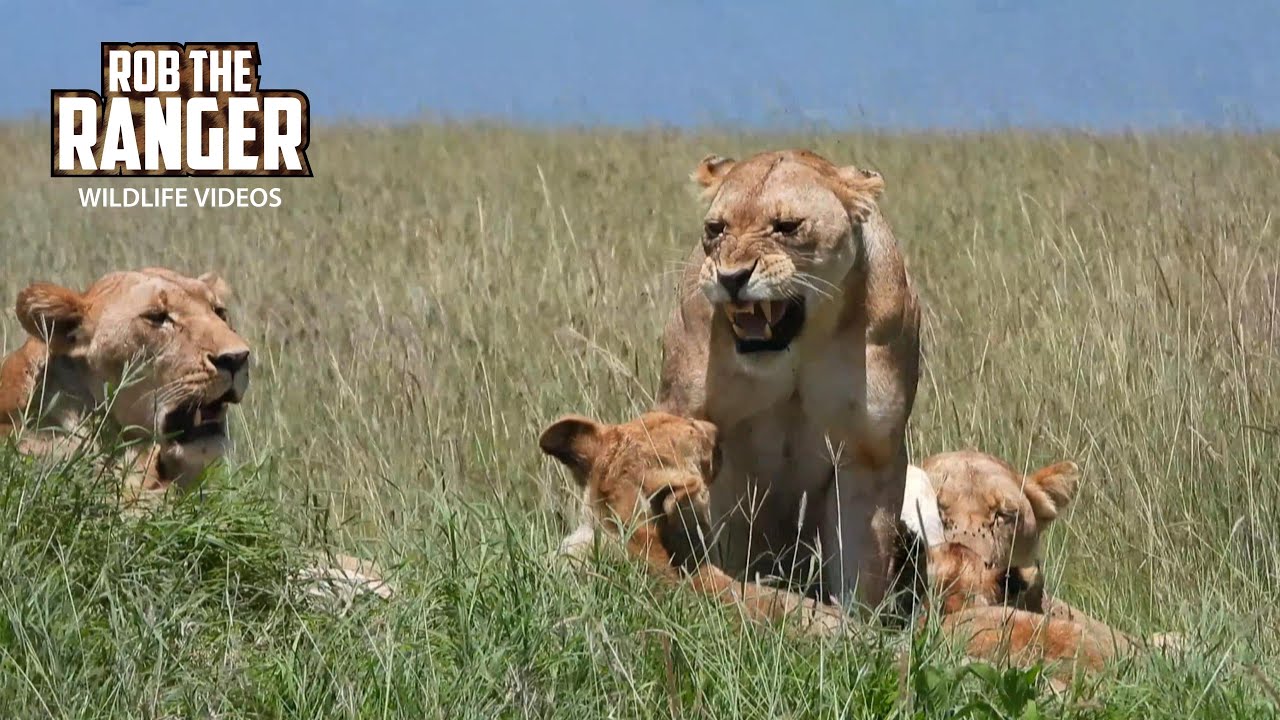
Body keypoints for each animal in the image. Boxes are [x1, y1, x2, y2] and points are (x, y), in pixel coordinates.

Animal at [654, 149, 921, 609]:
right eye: (716, 229)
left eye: (787, 227)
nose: (731, 278)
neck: (794, 348)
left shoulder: (866, 453)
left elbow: (859, 566)